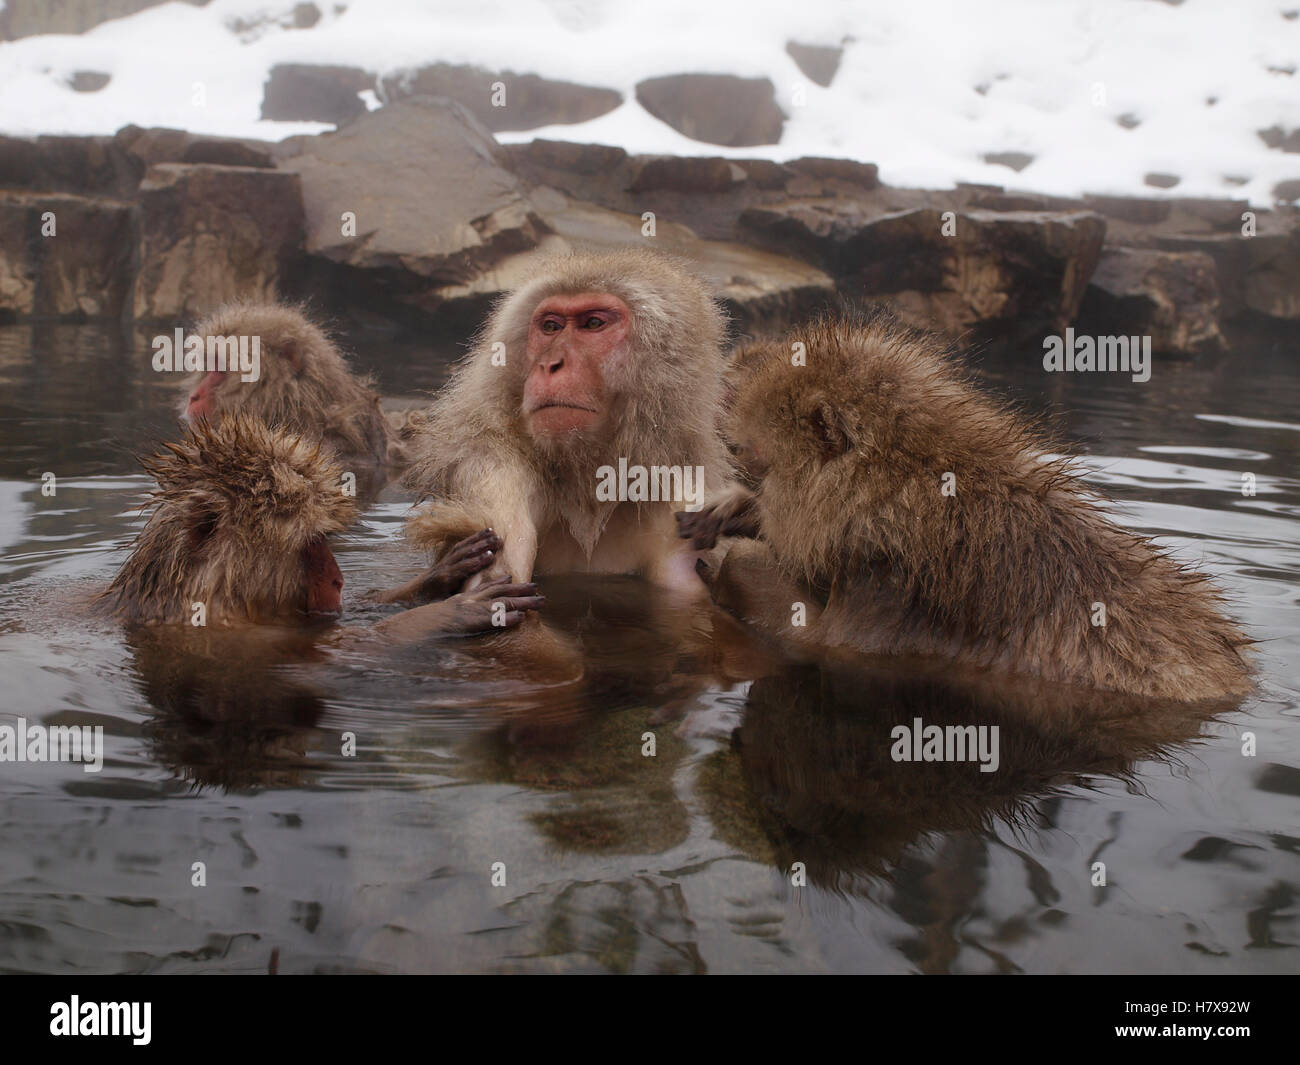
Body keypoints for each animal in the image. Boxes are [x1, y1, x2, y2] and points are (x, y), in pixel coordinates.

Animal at [398, 247, 733, 596]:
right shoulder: (494, 471)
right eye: (550, 326)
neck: (588, 484)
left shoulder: (686, 502)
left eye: (593, 323)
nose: (549, 364)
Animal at [679, 311, 1252, 703]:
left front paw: (728, 559)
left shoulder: (895, 584)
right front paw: (733, 510)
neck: (900, 493)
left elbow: (825, 642)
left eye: (742, 453)